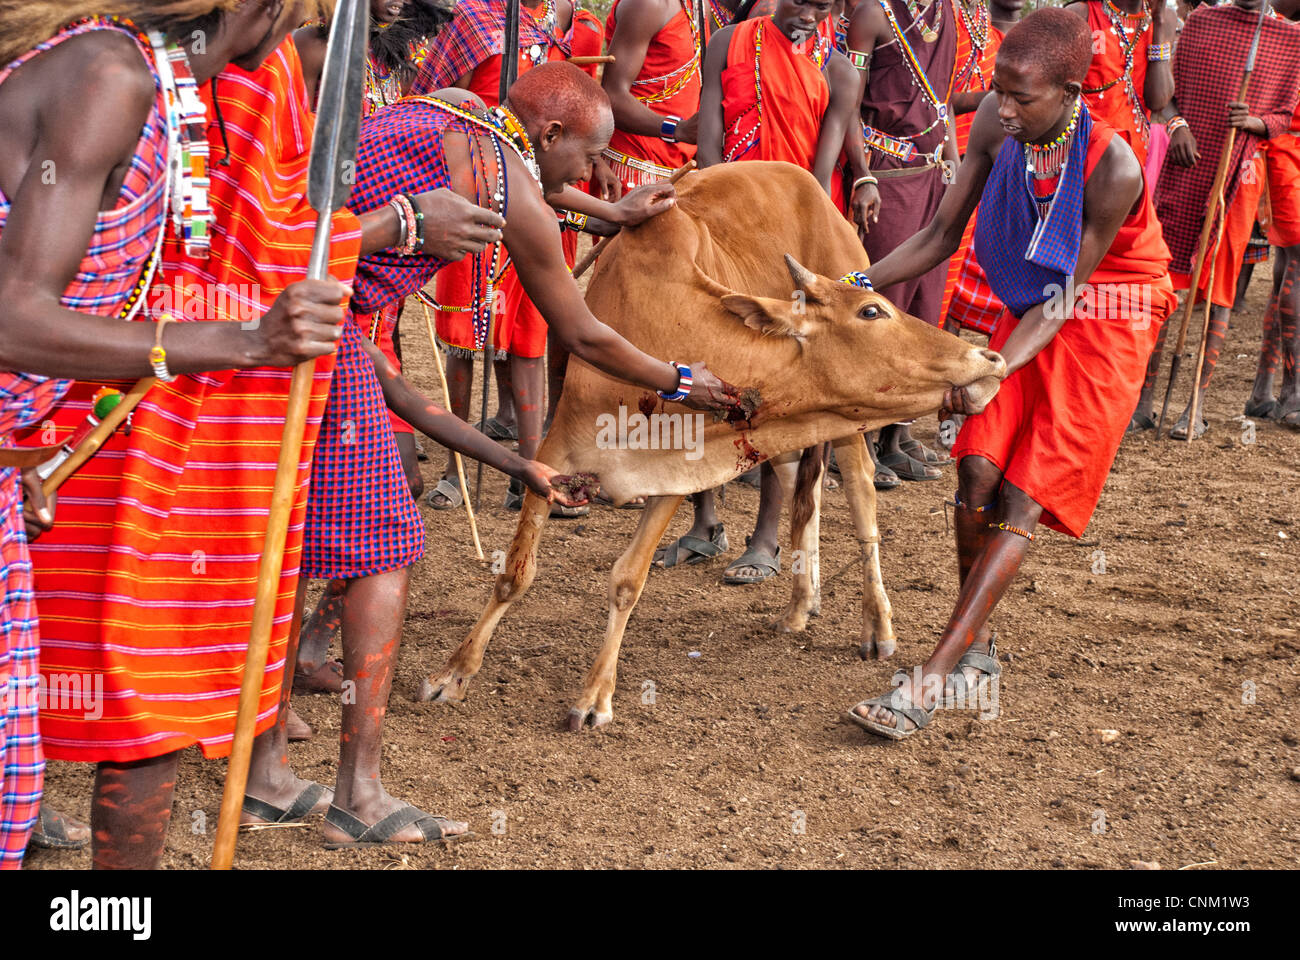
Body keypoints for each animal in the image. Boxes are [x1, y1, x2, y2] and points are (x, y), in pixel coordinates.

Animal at [416, 161, 1005, 729]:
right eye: (871, 311)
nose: (992, 359)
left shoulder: (675, 474)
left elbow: (627, 579)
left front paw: (594, 697)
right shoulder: (555, 454)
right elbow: (514, 574)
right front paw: (453, 672)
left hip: (847, 421)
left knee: (861, 496)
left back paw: (876, 623)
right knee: (800, 489)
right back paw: (802, 600)